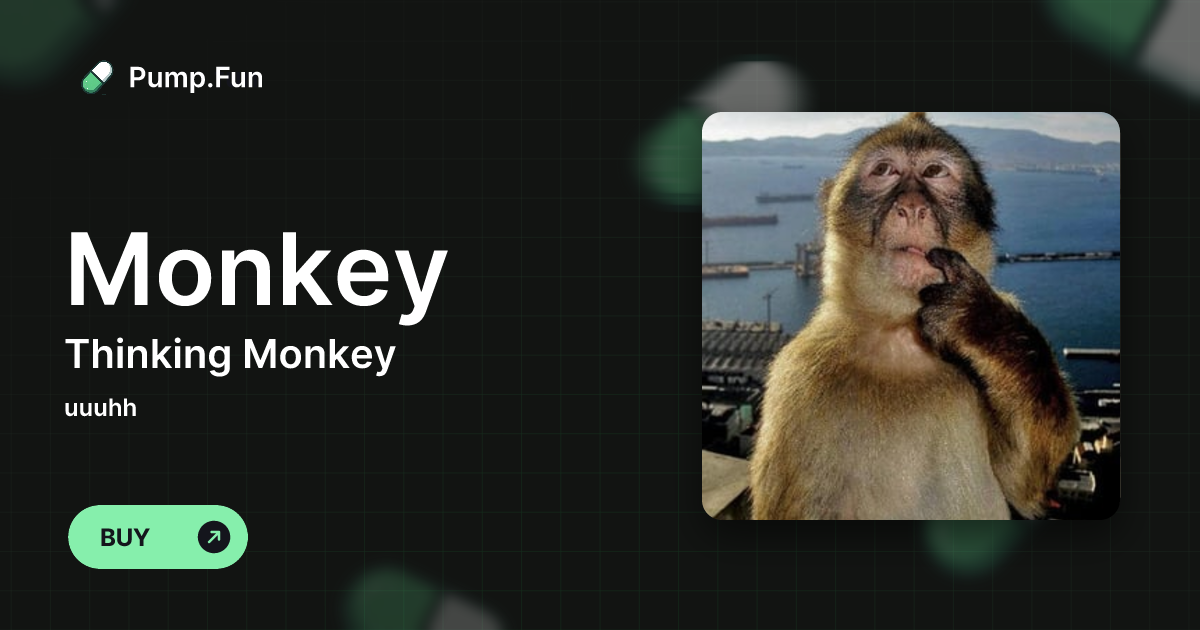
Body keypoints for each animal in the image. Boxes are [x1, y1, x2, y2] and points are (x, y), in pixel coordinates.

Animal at [749, 112, 1080, 520]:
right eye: (884, 170)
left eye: (935, 171)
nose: (911, 207)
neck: (901, 335)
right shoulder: (797, 380)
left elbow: (1024, 479)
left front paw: (979, 322)